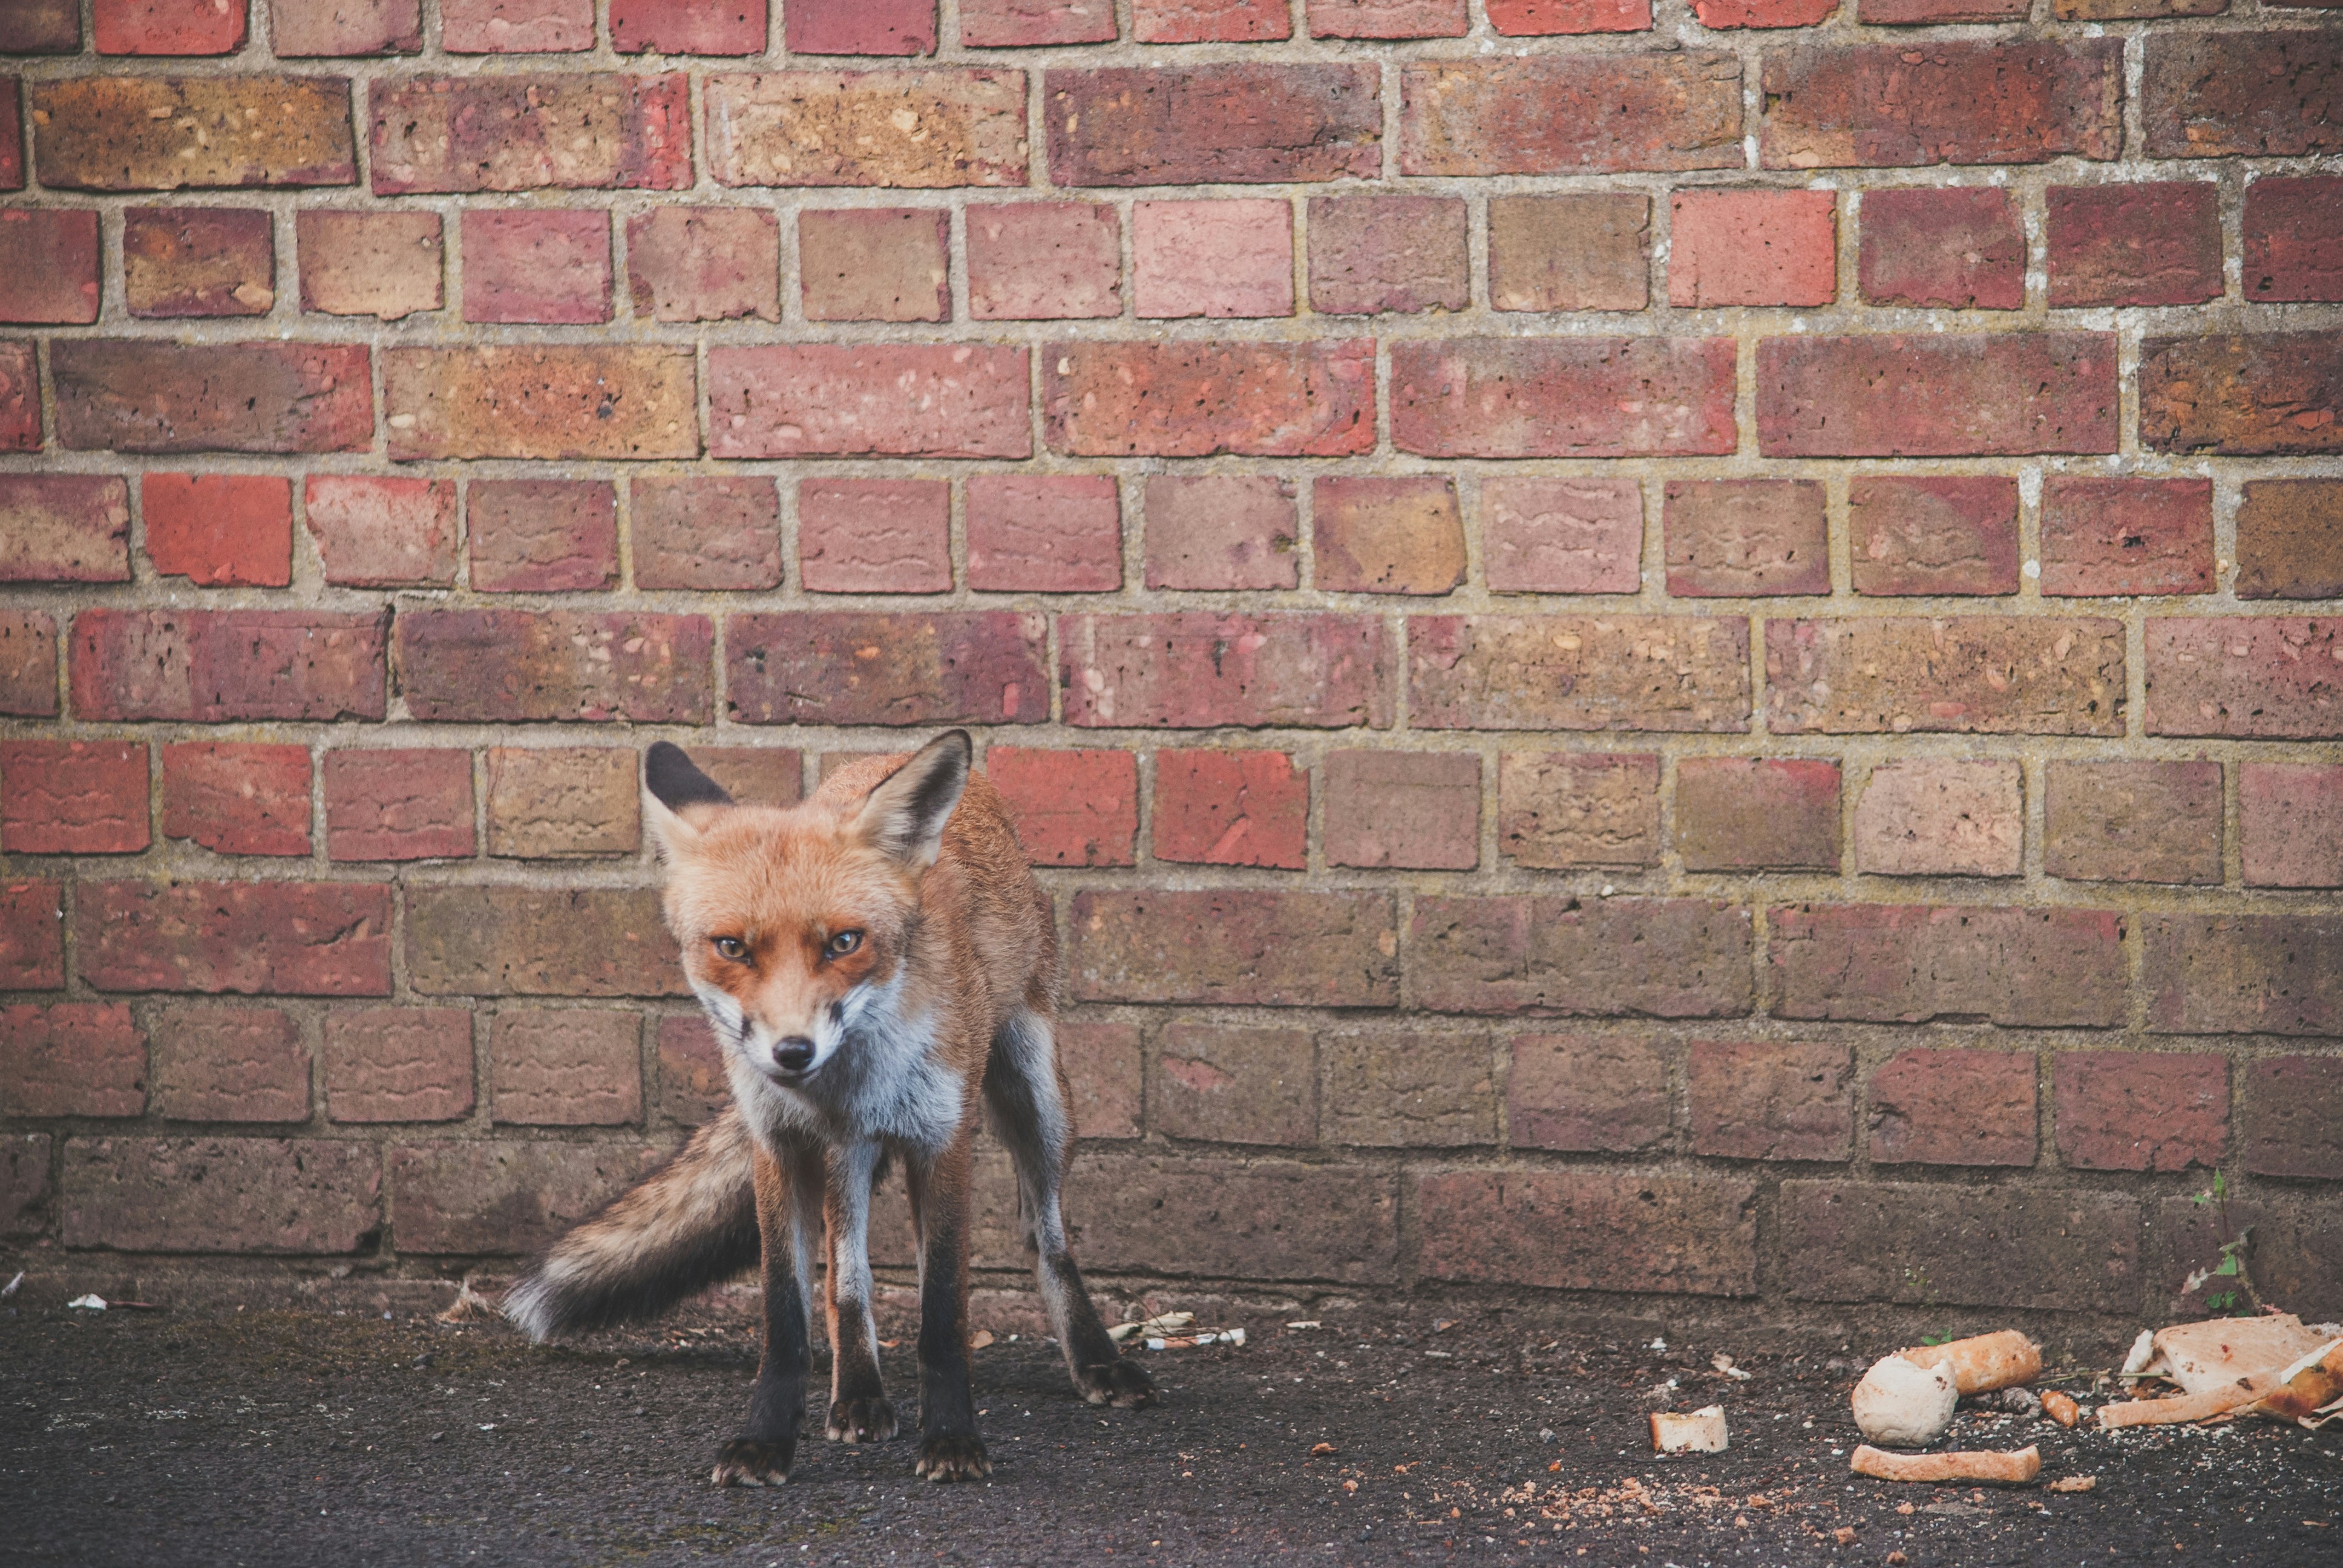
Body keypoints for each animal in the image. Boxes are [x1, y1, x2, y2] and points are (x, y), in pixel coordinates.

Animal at [502, 730, 1154, 1485]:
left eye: (844, 942)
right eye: (732, 947)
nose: (792, 1053)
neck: (846, 1086)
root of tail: (886, 757)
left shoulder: (942, 1143)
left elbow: (943, 1318)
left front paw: (952, 1438)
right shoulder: (778, 1149)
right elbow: (790, 1315)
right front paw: (765, 1438)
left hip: (1036, 1099)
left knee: (1040, 1235)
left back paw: (1096, 1360)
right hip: (846, 1159)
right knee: (848, 1279)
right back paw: (858, 1395)